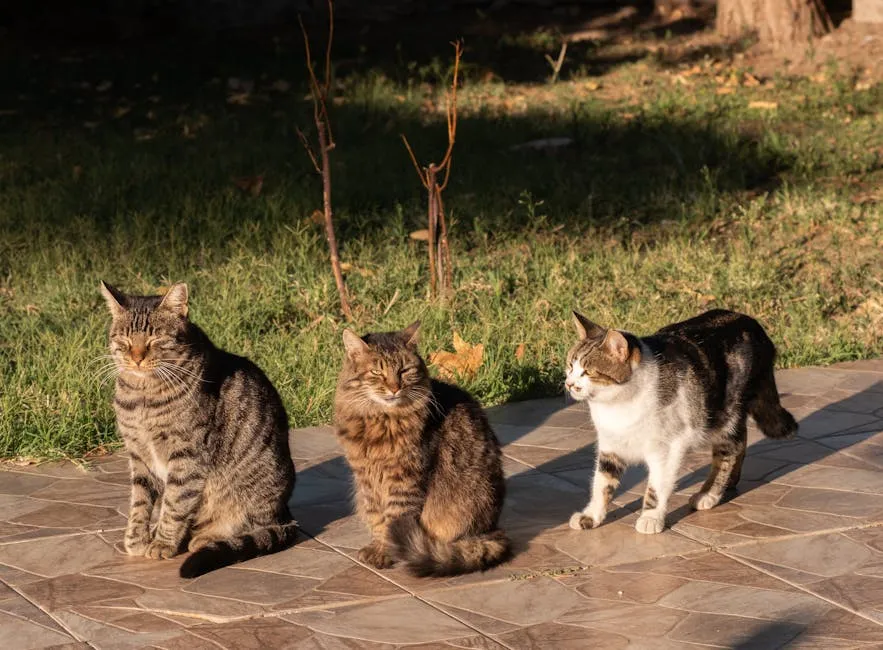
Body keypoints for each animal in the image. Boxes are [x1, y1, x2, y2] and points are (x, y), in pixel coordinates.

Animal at [99, 280, 296, 576]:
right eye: (124, 341)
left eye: (154, 340)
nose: (136, 358)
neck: (143, 396)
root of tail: (286, 513)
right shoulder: (138, 455)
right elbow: (140, 501)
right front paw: (137, 539)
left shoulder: (187, 454)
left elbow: (175, 502)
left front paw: (162, 543)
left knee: (254, 526)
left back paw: (205, 538)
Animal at [332, 322, 512, 576]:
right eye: (377, 372)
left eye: (404, 371)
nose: (394, 389)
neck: (379, 420)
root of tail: (492, 529)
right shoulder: (366, 479)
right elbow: (377, 518)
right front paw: (377, 548)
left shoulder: (405, 478)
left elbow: (393, 520)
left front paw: (386, 553)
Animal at [568, 308, 800, 532]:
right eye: (570, 365)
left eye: (588, 372)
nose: (569, 384)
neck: (618, 406)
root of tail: (751, 323)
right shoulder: (610, 446)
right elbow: (601, 484)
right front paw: (591, 516)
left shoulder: (667, 448)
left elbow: (656, 486)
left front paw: (651, 517)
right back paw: (730, 484)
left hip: (728, 412)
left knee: (731, 449)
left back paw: (709, 494)